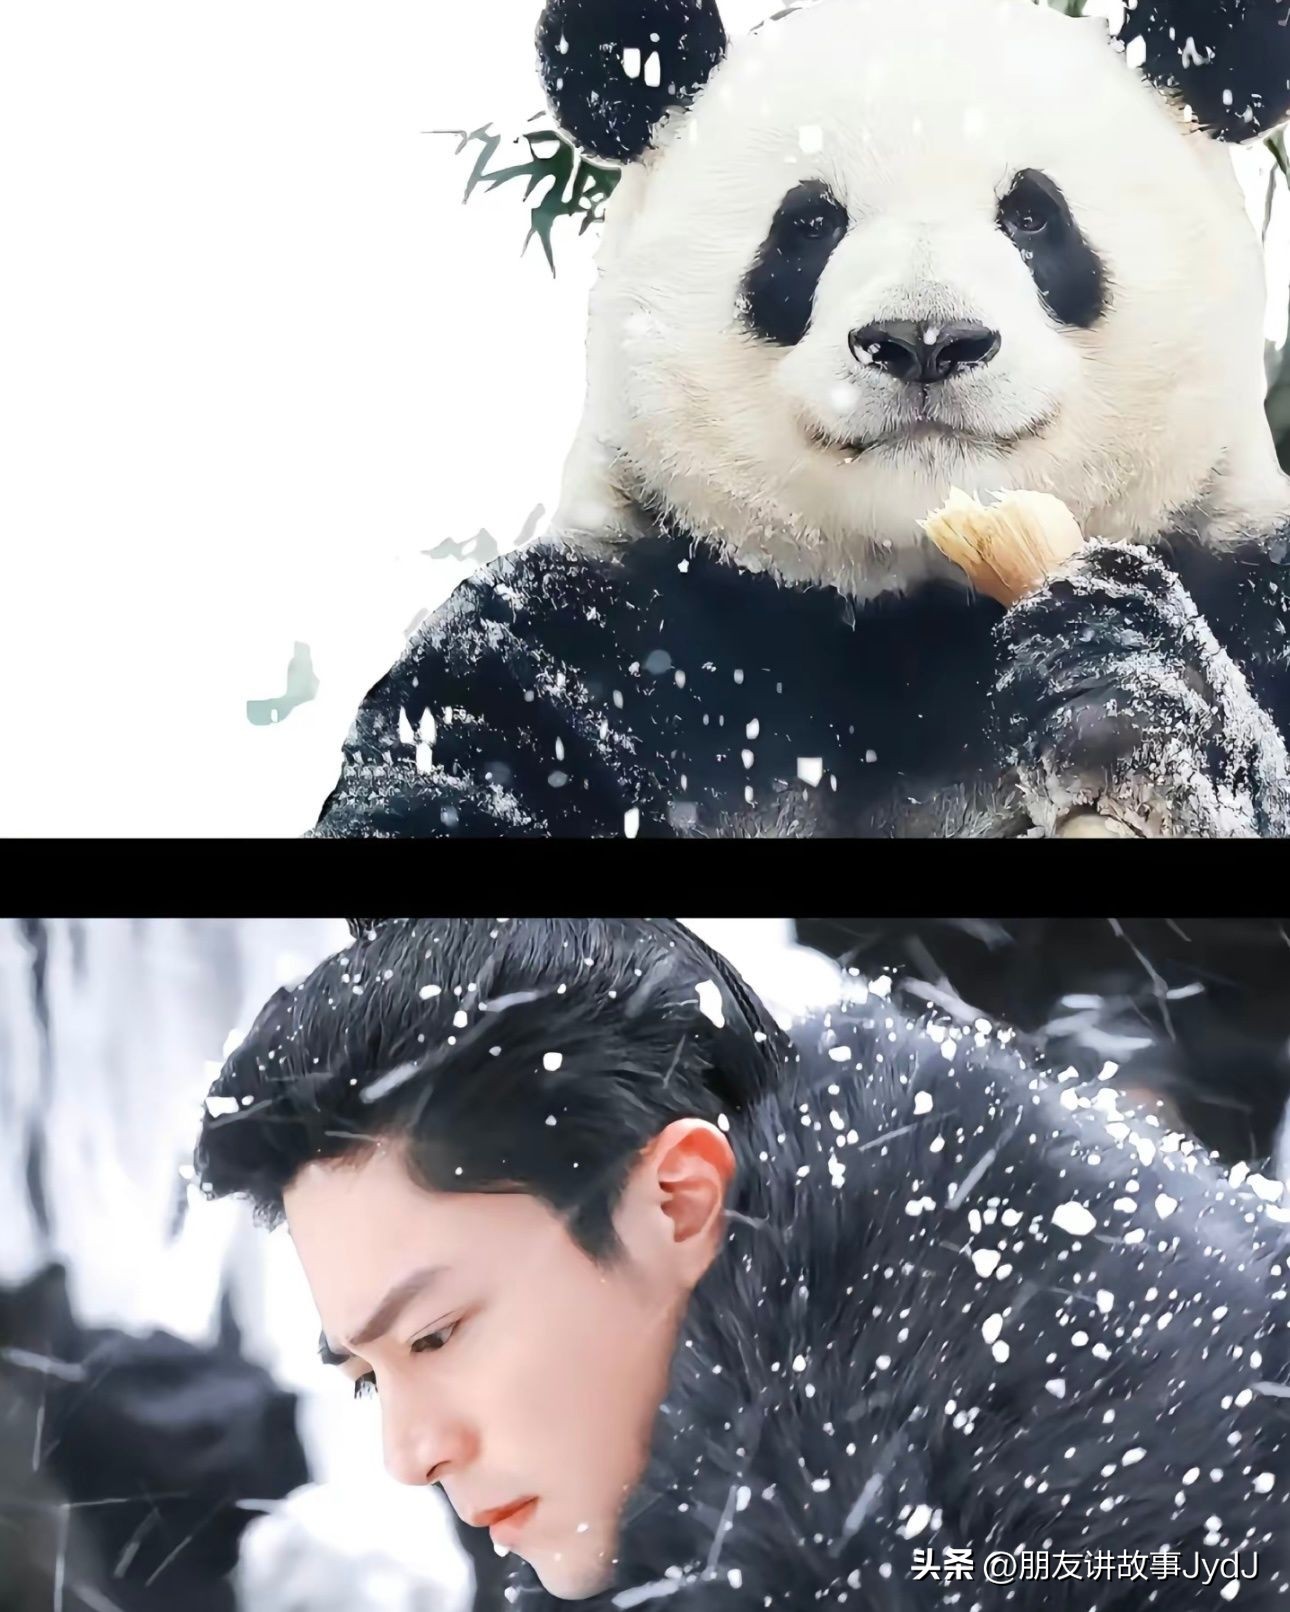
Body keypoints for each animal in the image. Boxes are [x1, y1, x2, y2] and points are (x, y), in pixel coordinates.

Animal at [313, 0, 1290, 840]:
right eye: (810, 224)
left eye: (1033, 216)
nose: (924, 338)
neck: (911, 617)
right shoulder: (612, 632)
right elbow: (452, 766)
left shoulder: (1248, 586)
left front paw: (1119, 681)